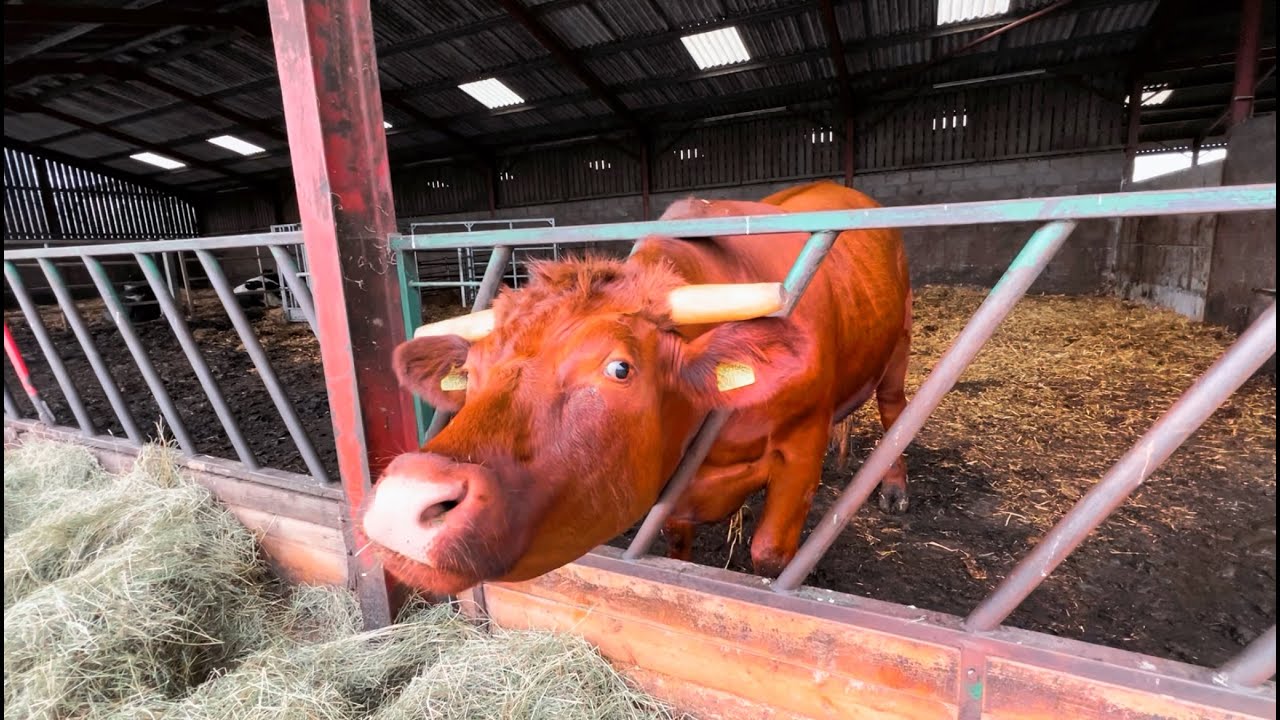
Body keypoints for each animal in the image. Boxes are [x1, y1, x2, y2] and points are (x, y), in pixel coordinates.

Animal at [360, 180, 913, 596]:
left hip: (900, 342)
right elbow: (675, 541)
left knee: (893, 406)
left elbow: (771, 555)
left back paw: (895, 490)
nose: (403, 501)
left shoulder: (802, 443)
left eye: (620, 369)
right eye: (471, 372)